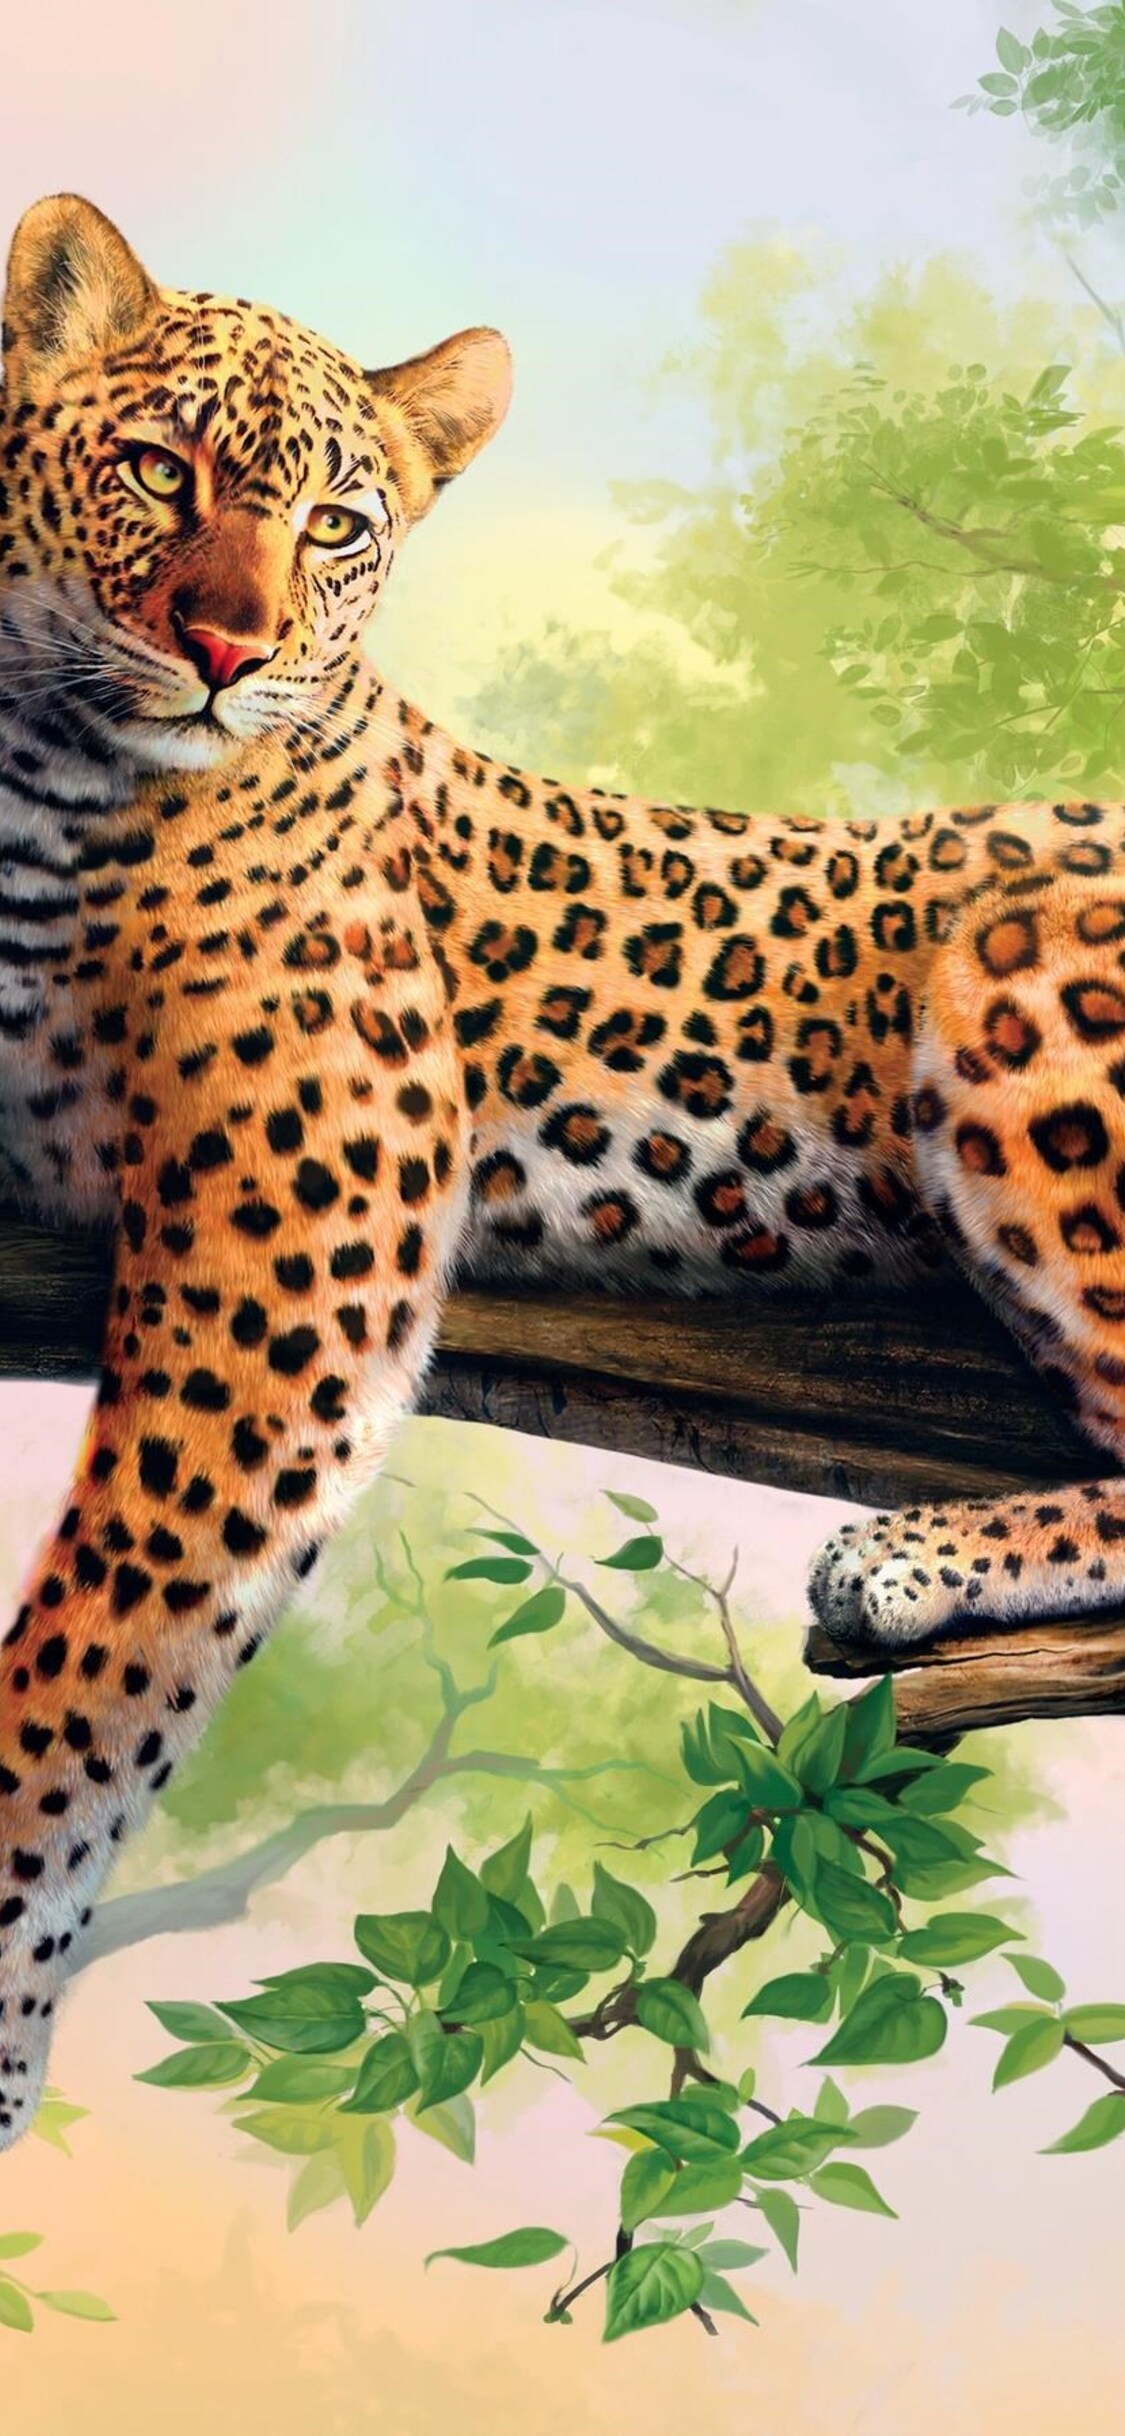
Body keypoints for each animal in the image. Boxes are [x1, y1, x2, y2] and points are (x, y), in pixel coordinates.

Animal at [1, 192, 1125, 2149]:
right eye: (154, 469)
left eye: (335, 525)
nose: (226, 650)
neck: (47, 780)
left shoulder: (306, 1240)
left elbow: (104, 1639)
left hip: (1012, 968)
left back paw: (903, 1556)